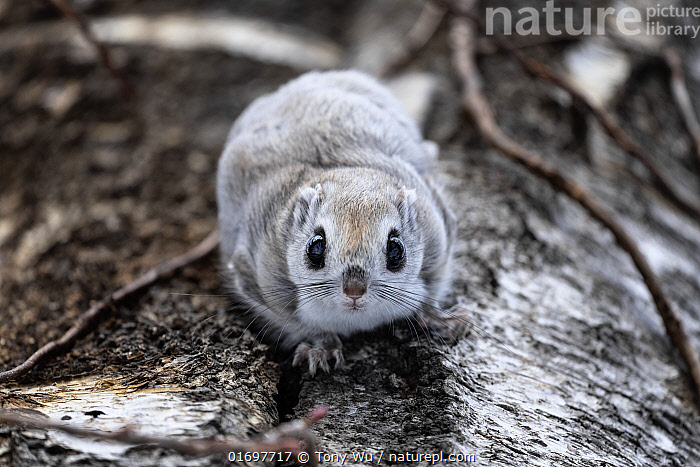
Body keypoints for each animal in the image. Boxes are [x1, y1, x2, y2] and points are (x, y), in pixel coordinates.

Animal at [217, 70, 456, 375]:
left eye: (396, 249)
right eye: (315, 248)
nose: (354, 290)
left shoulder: (439, 240)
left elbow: (431, 293)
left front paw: (438, 317)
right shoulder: (258, 283)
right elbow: (304, 327)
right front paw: (322, 349)